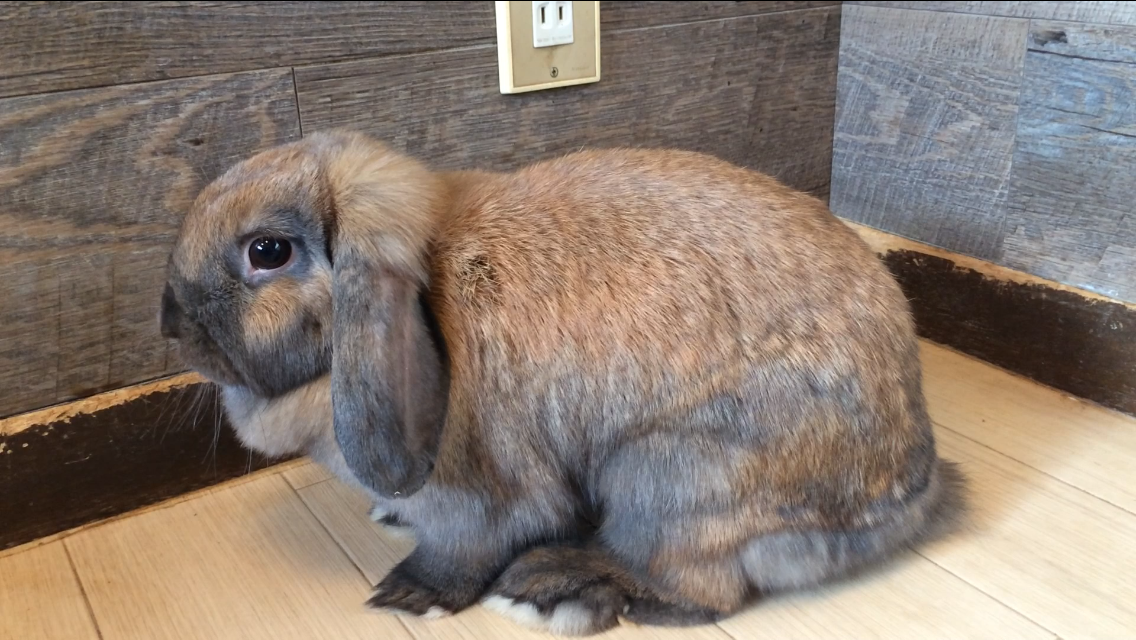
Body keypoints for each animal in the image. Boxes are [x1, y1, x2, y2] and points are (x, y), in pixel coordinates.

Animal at [159, 129, 966, 636]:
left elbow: (466, 544)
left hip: (667, 475)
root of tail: (909, 491)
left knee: (693, 589)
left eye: (268, 252)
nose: (170, 320)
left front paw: (409, 593)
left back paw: (551, 589)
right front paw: (388, 515)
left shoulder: (480, 495)